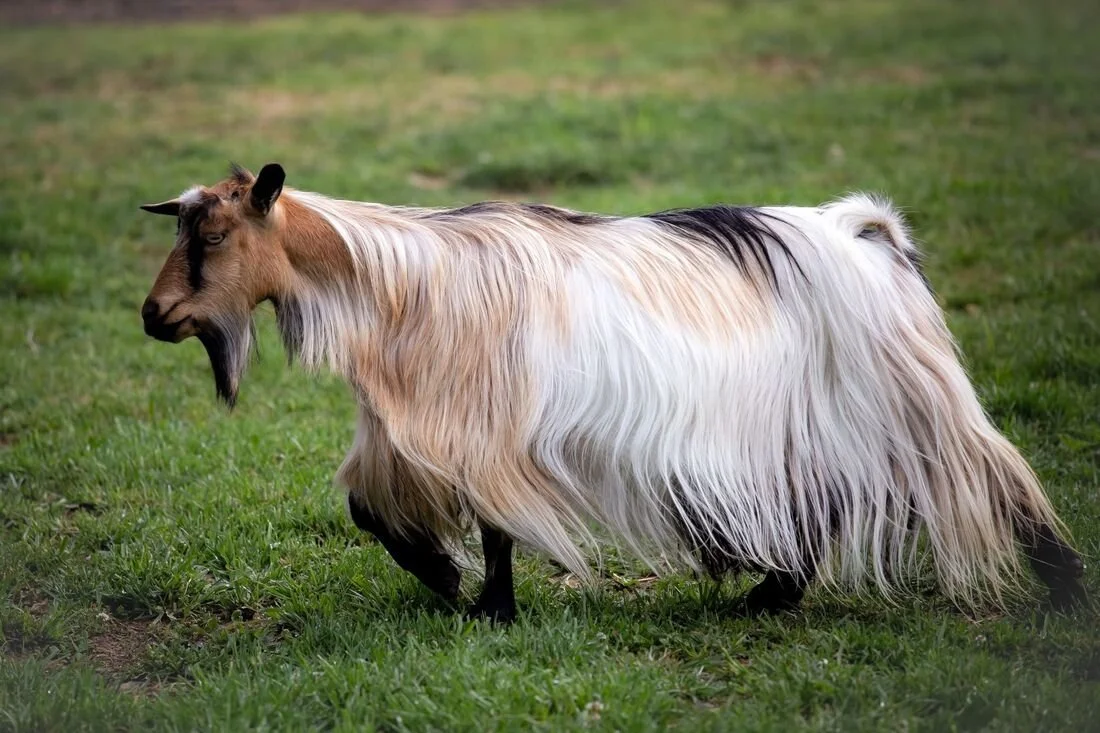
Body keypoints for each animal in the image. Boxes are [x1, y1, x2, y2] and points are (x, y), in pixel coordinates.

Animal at [140, 162, 1087, 622]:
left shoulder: (484, 427)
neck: (402, 285)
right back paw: (768, 594)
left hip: (906, 396)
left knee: (989, 476)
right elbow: (375, 509)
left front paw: (481, 602)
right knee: (829, 499)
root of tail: (865, 234)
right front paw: (452, 582)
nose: (154, 314)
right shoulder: (417, 427)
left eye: (214, 234)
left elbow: (492, 527)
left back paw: (1067, 591)